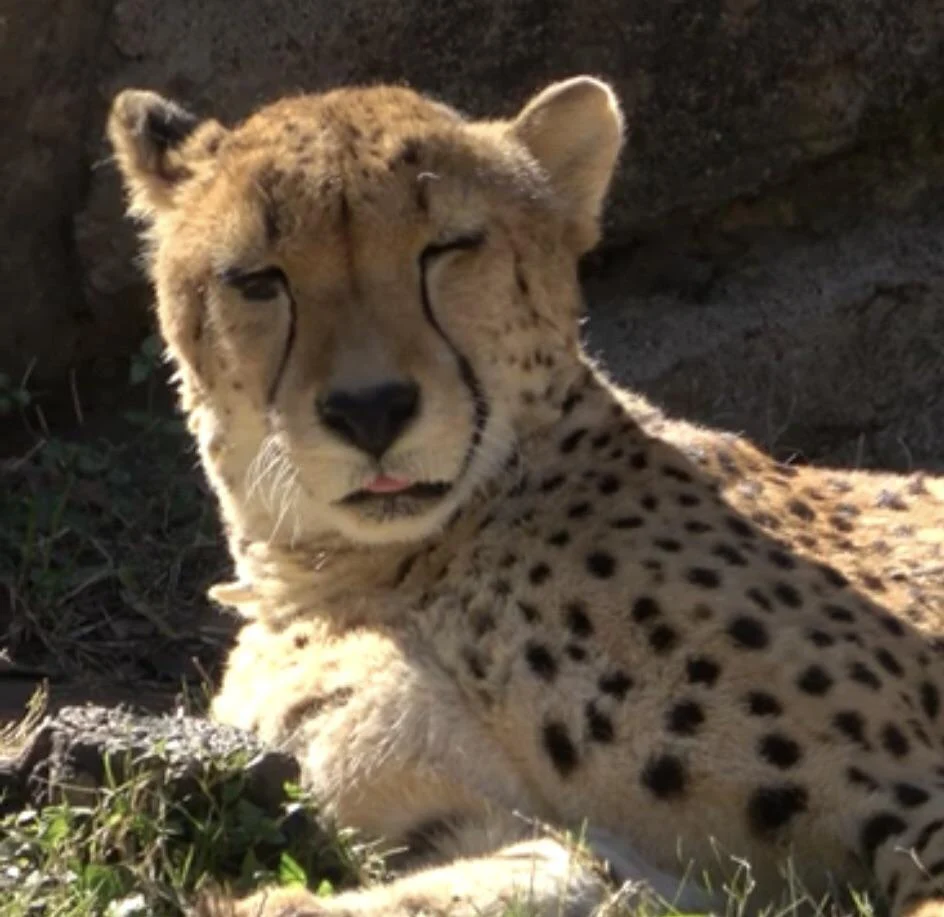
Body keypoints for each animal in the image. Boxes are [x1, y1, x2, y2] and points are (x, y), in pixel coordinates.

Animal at [107, 75, 944, 917]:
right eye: (257, 280)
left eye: (449, 247)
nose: (370, 408)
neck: (383, 568)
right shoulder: (497, 829)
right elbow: (536, 864)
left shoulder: (915, 804)